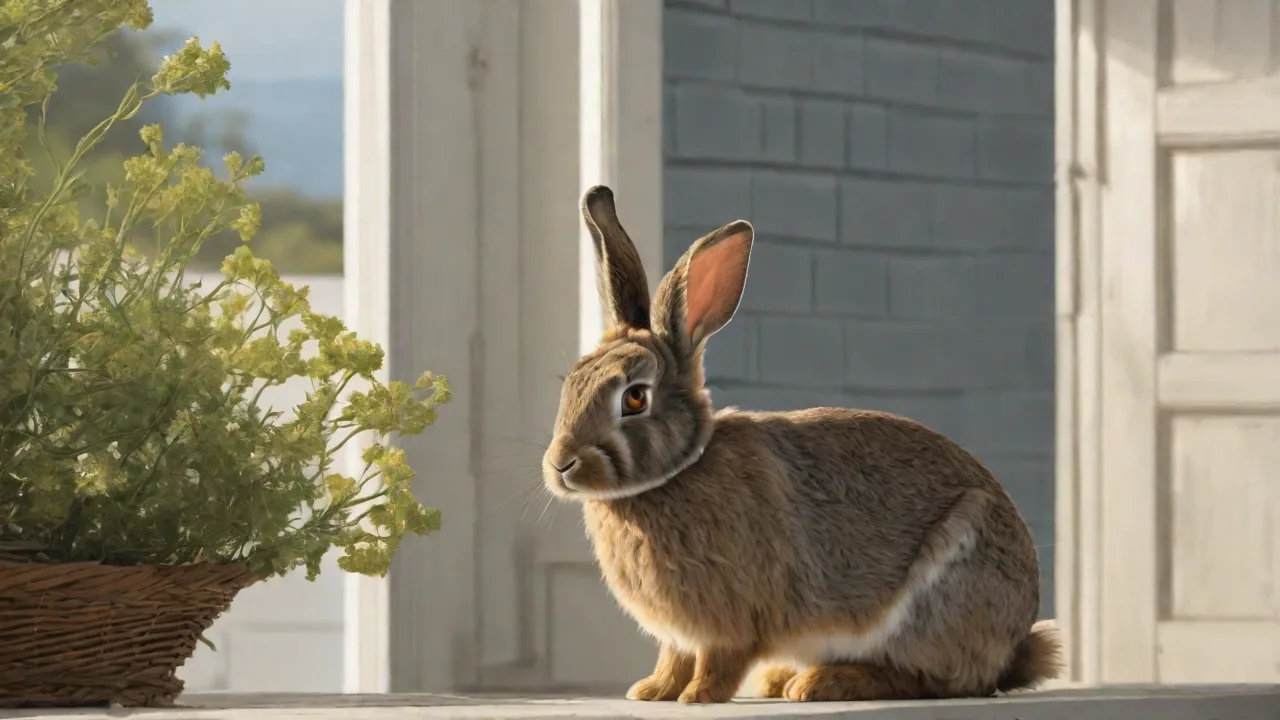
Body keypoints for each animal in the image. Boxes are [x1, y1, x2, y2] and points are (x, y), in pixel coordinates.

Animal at [541, 185, 1062, 704]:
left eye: (634, 398)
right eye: (572, 383)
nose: (560, 465)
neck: (680, 469)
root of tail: (1012, 646)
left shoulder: (733, 622)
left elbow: (719, 661)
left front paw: (698, 697)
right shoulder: (679, 636)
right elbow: (674, 658)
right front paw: (652, 691)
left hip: (938, 594)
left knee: (935, 679)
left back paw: (817, 683)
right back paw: (781, 680)